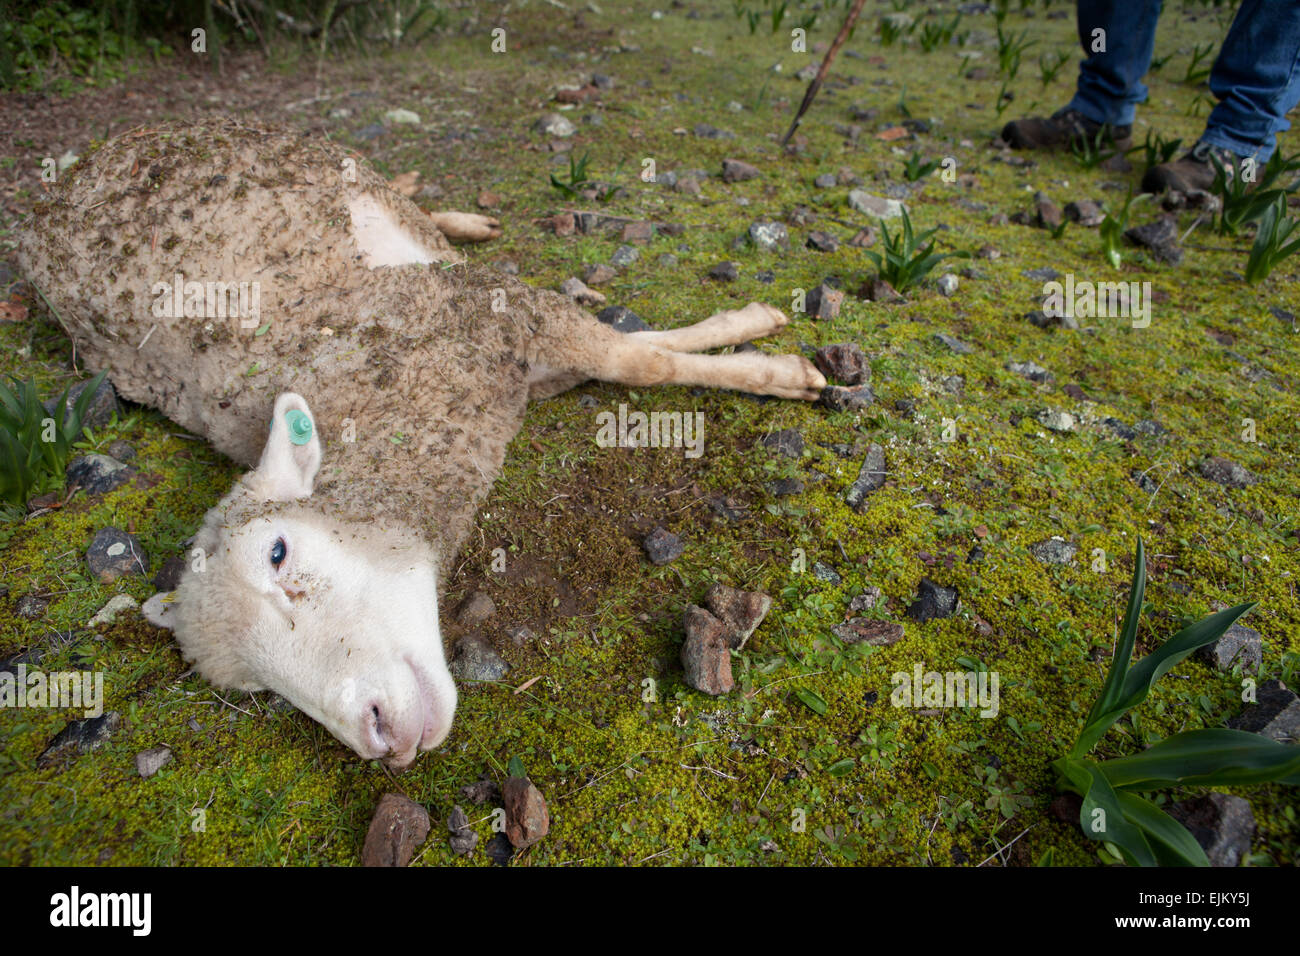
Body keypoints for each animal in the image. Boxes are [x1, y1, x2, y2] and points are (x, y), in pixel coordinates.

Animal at [15, 119, 826, 769]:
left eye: (278, 552)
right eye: (256, 685)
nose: (381, 735)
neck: (381, 405)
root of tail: (71, 180)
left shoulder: (499, 312)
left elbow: (642, 359)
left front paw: (770, 358)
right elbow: (641, 350)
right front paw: (754, 344)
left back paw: (462, 217)